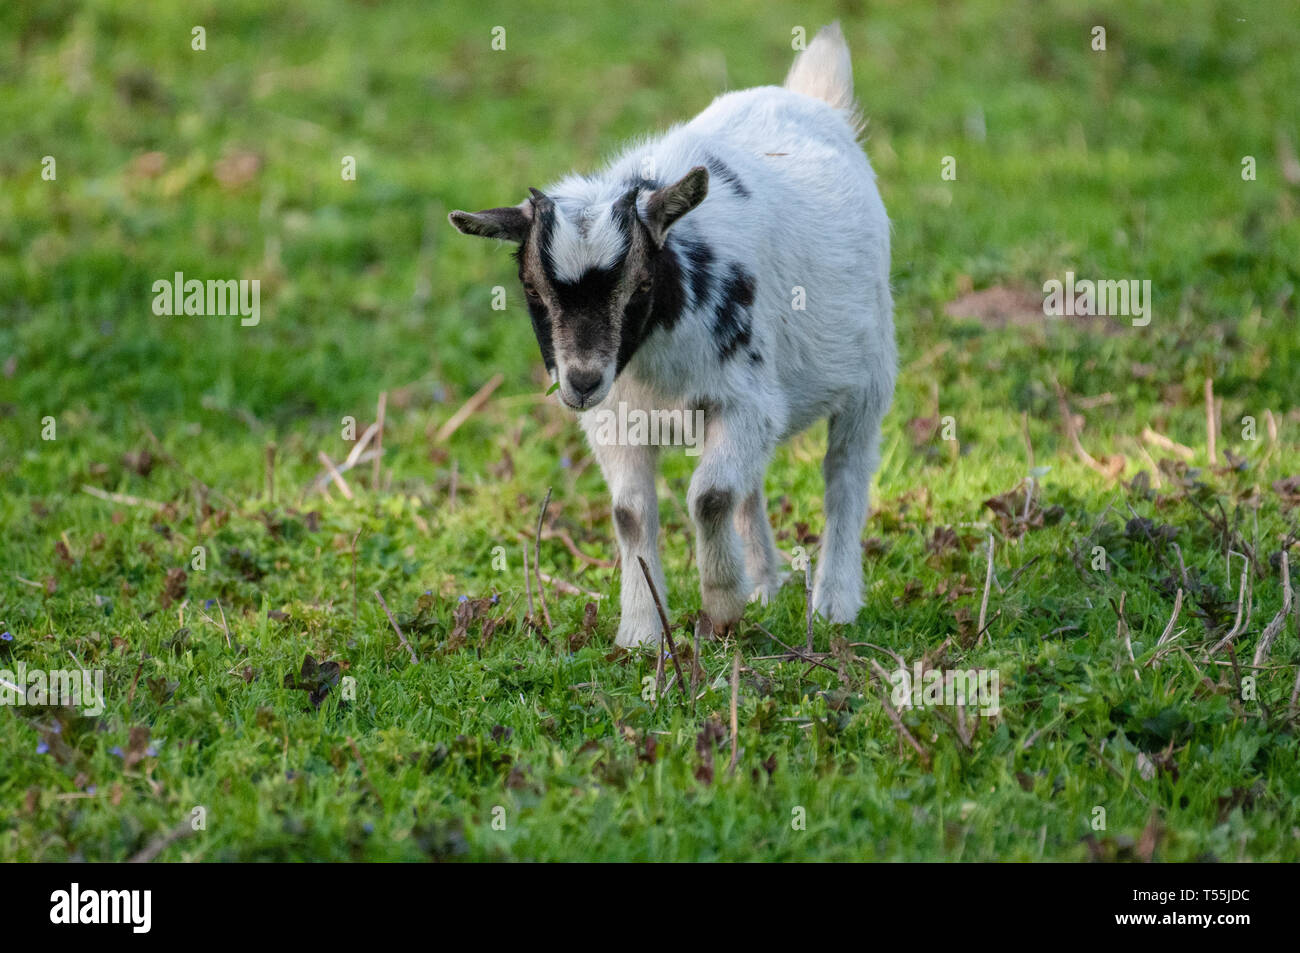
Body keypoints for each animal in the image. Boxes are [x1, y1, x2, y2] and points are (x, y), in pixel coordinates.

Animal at [450, 22, 895, 647]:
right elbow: (632, 512)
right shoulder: (618, 417)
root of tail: (812, 99)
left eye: (639, 286)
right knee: (752, 482)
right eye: (533, 291)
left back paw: (835, 601)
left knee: (845, 473)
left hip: (871, 369)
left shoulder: (745, 398)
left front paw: (723, 605)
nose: (581, 381)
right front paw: (642, 632)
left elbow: (708, 496)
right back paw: (765, 583)